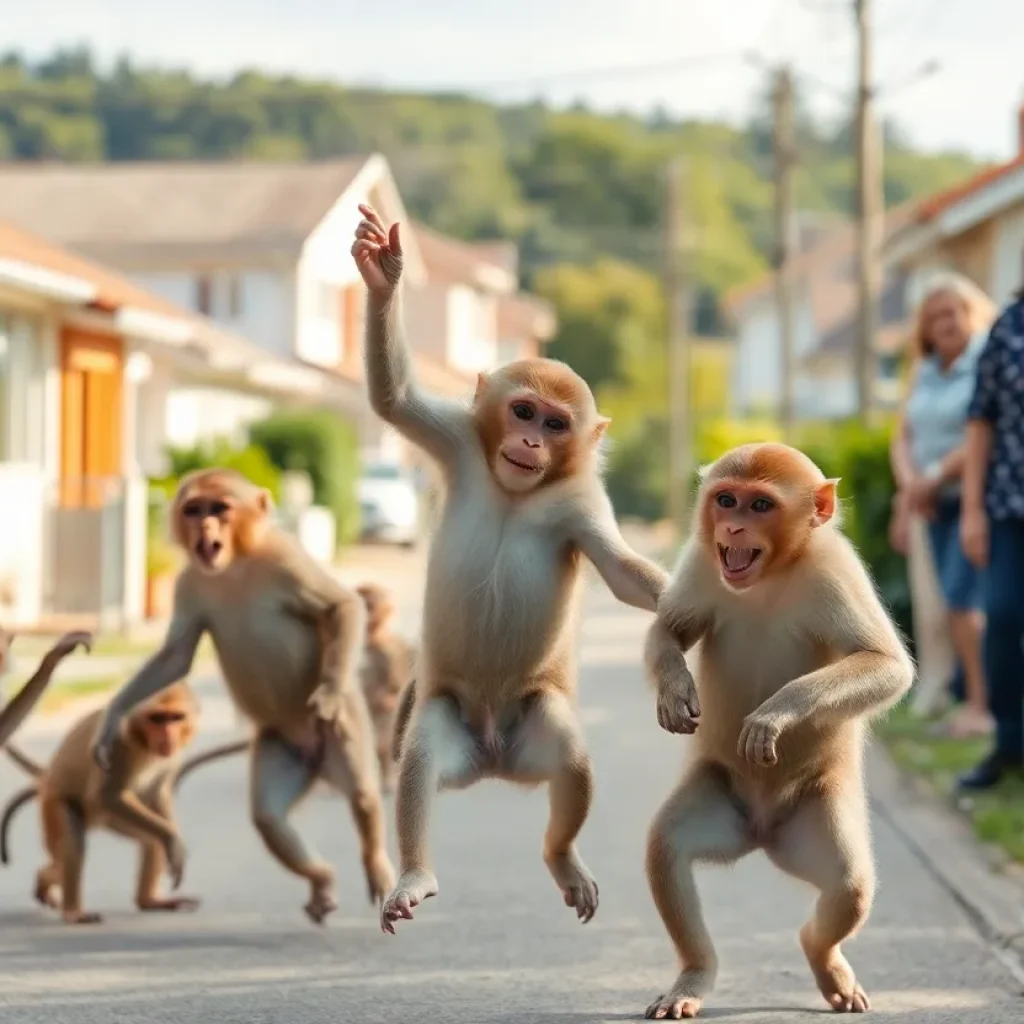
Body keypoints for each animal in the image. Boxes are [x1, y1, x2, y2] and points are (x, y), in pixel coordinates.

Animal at [0, 681, 236, 924]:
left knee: (150, 840)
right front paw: (172, 839)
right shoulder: (116, 743)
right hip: (54, 800)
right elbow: (108, 795)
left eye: (175, 717)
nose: (168, 736)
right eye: (157, 718)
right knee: (73, 843)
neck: (141, 738)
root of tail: (47, 777)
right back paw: (72, 910)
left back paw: (148, 901)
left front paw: (172, 837)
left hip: (109, 818)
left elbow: (158, 791)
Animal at [89, 468, 395, 925]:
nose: (205, 527)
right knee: (269, 818)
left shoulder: (285, 559)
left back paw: (376, 864)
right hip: (281, 745)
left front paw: (327, 692)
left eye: (219, 508)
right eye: (194, 509)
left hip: (342, 734)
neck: (233, 565)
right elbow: (176, 657)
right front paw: (114, 714)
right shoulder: (189, 581)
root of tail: (316, 764)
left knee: (360, 793)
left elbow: (341, 607)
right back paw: (321, 879)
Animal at [641, 443, 915, 1019]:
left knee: (850, 886)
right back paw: (693, 977)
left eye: (761, 505)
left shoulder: (836, 572)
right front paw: (675, 688)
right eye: (726, 500)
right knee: (666, 851)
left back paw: (823, 957)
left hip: (815, 816)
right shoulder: (703, 561)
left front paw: (774, 715)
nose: (733, 528)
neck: (769, 576)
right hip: (721, 800)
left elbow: (885, 666)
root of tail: (763, 834)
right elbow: (668, 628)